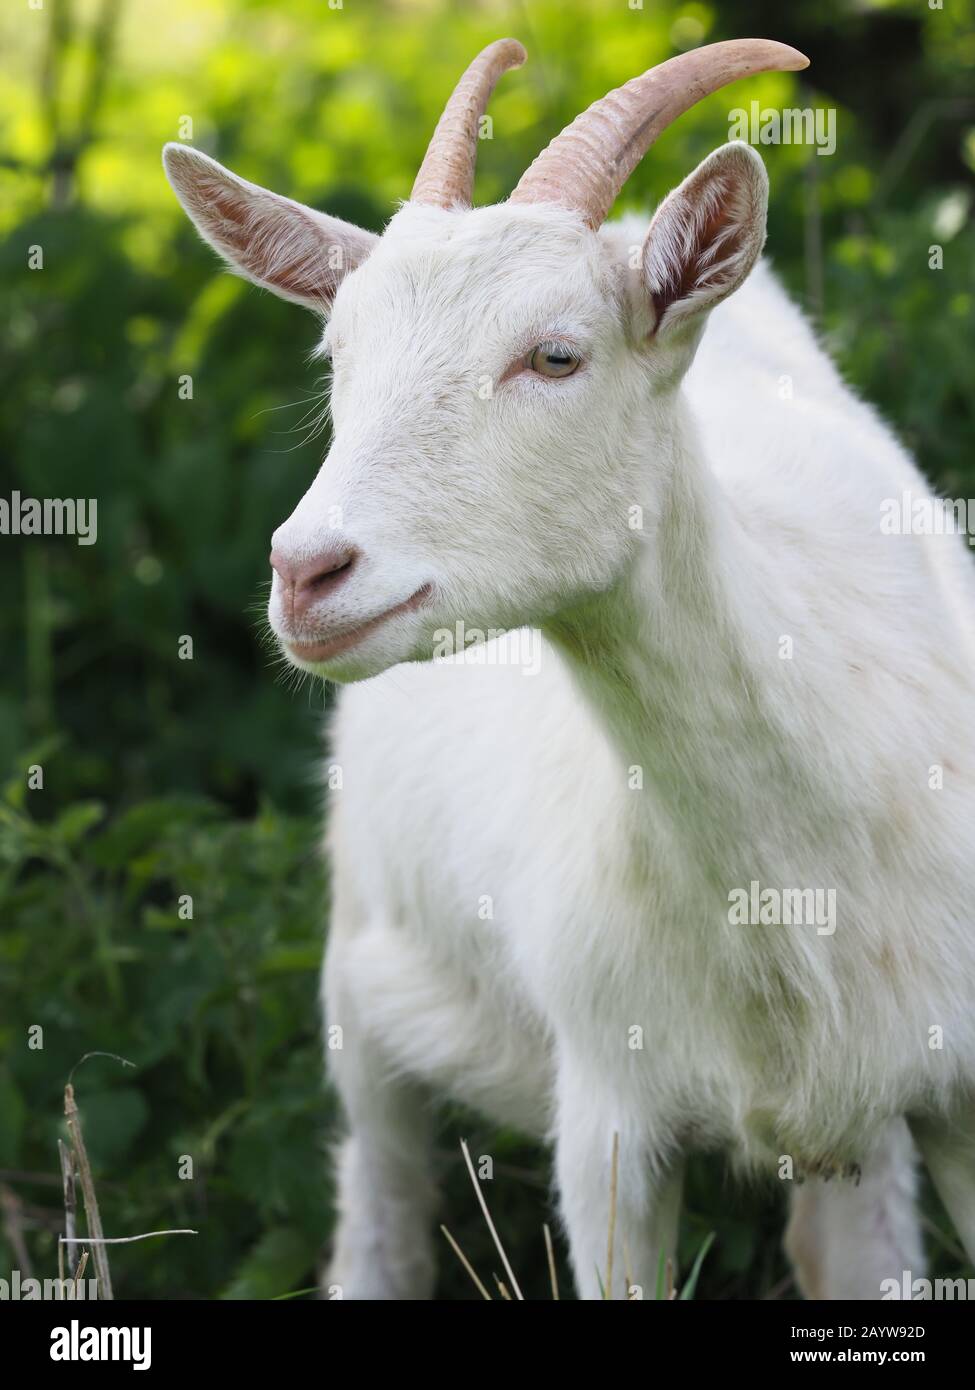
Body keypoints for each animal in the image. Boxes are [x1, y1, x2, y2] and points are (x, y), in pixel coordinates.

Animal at [164, 37, 975, 1300]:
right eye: (338, 355)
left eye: (556, 355)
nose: (308, 571)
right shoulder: (608, 1106)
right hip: (365, 970)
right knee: (378, 1207)